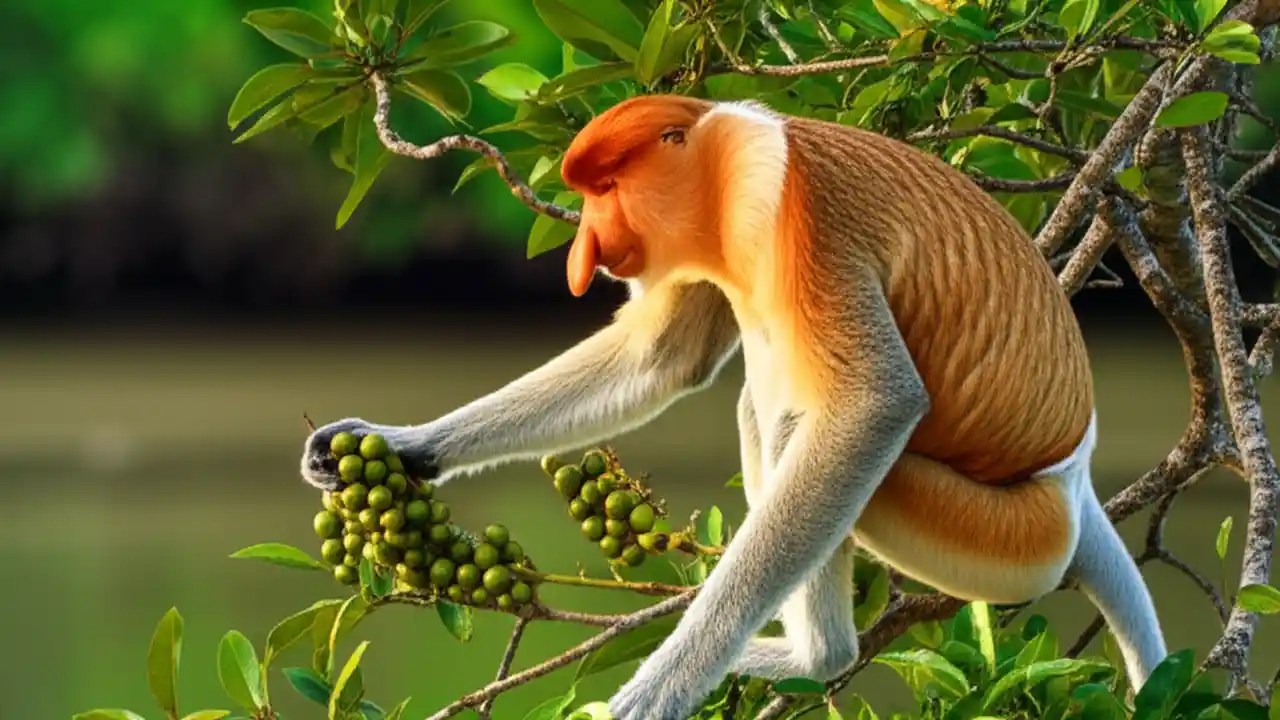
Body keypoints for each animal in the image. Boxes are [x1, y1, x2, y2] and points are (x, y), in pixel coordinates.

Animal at [299, 95, 1167, 720]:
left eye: (606, 187)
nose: (587, 250)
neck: (725, 169)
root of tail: (1075, 484)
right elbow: (659, 360)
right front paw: (394, 444)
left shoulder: (804, 209)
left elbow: (876, 406)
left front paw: (657, 693)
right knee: (762, 404)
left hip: (994, 534)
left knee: (801, 421)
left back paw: (816, 660)